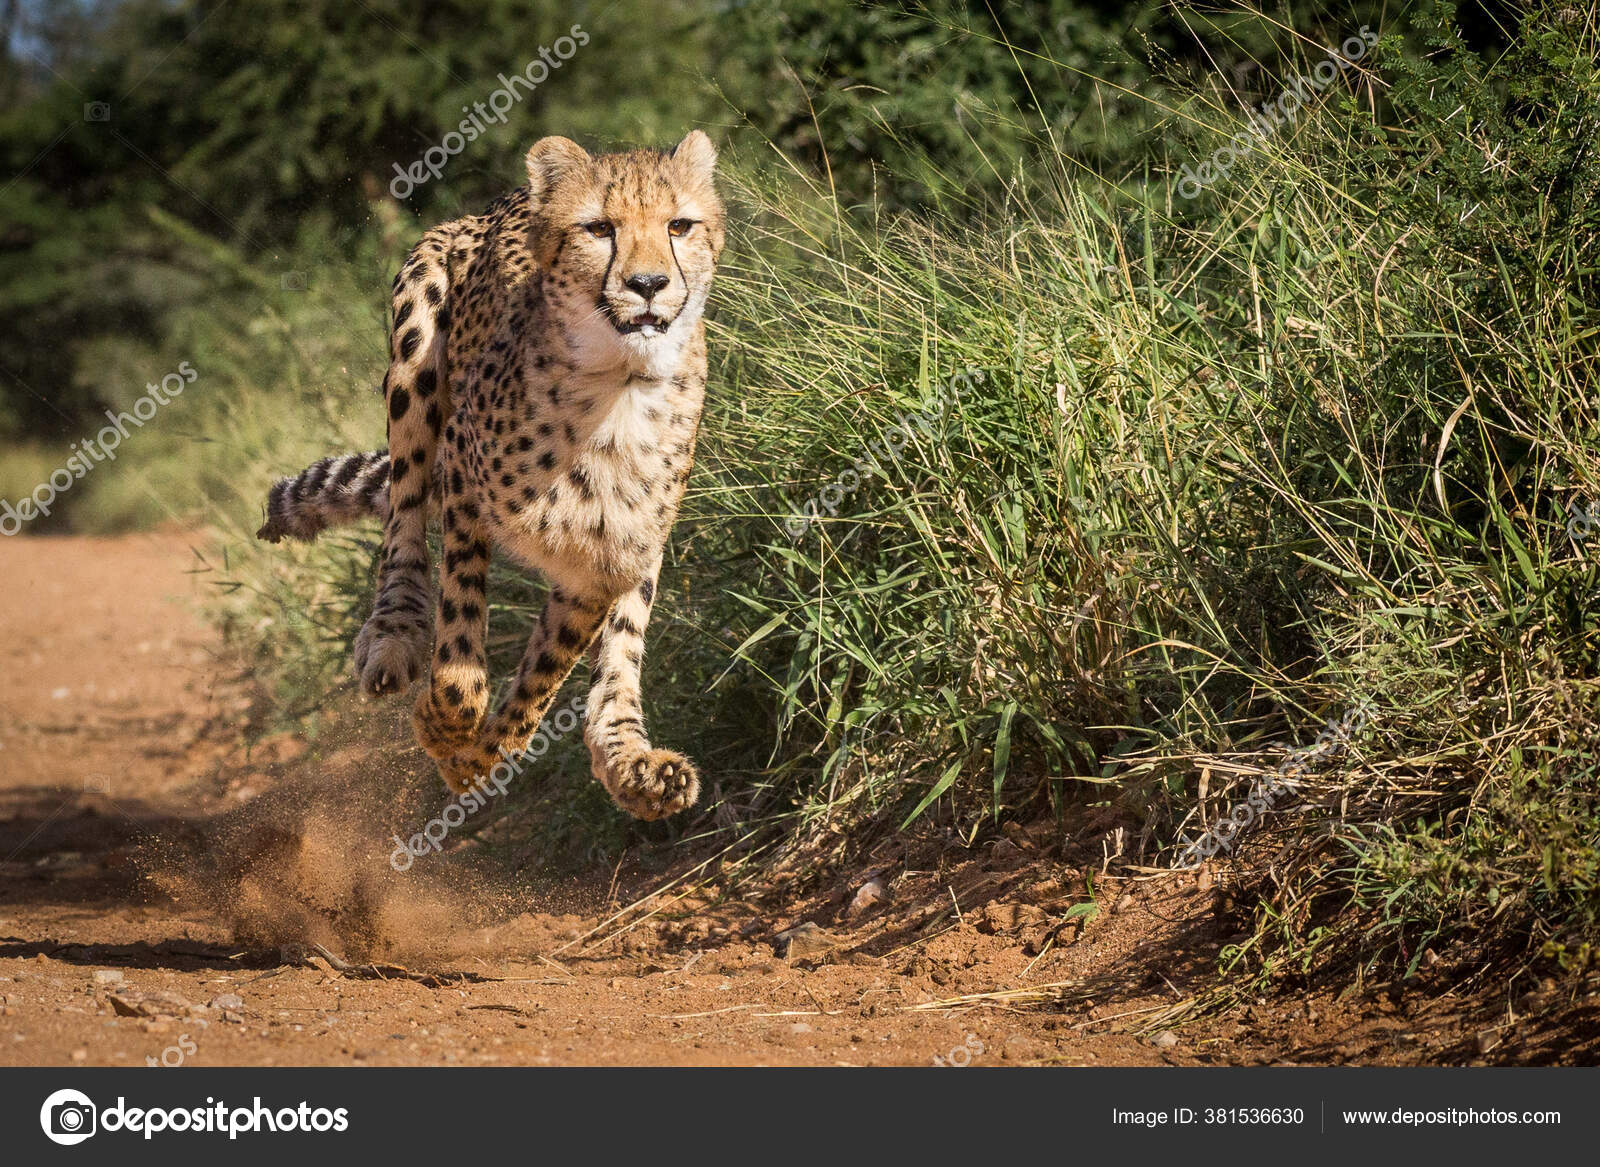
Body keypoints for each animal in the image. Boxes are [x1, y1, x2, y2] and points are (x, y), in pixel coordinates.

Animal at [255, 132, 724, 822]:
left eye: (679, 226)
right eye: (599, 228)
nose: (648, 283)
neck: (618, 386)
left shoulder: (604, 567)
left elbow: (544, 678)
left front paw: (475, 761)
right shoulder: (461, 478)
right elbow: (457, 642)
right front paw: (445, 725)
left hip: (642, 554)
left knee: (620, 656)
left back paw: (632, 761)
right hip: (416, 345)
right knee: (403, 516)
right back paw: (393, 633)